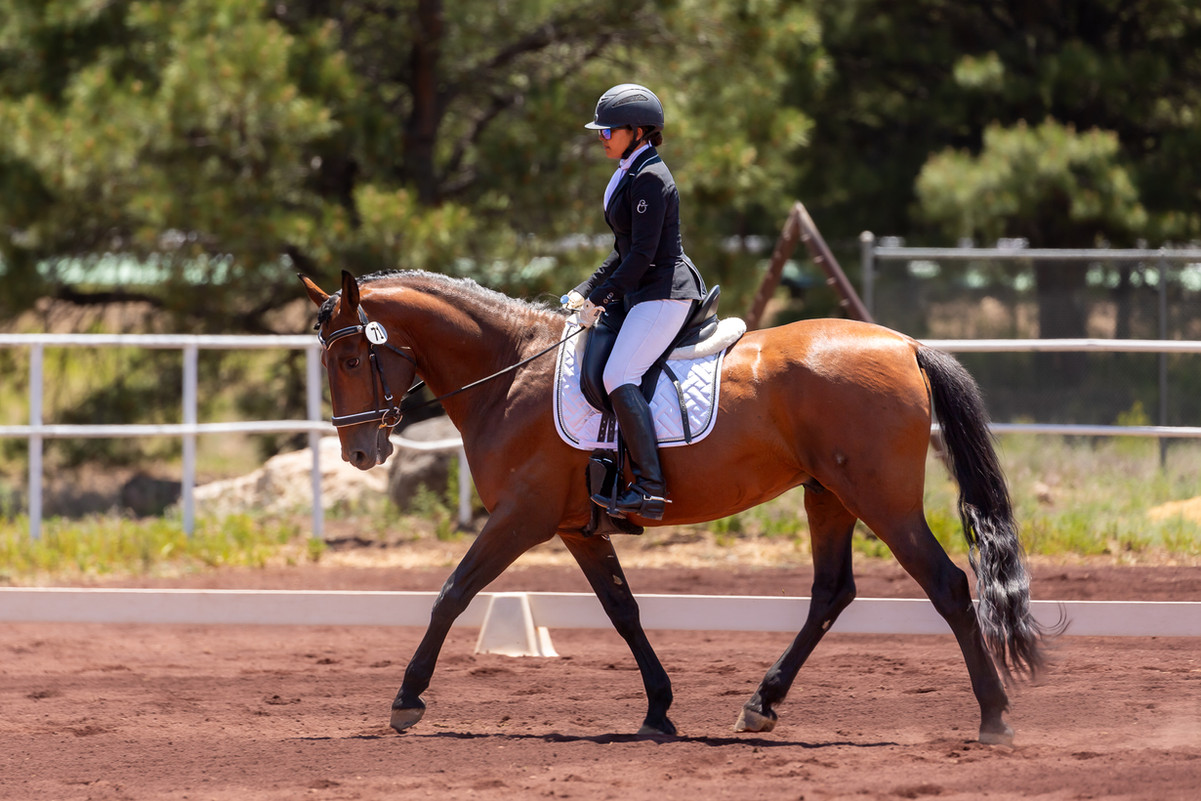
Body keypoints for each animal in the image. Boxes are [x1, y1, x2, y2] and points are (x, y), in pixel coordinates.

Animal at [300, 268, 1053, 746]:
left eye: (348, 360)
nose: (360, 453)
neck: (509, 372)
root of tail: (905, 344)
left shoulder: (521, 516)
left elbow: (452, 592)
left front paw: (406, 699)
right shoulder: (577, 527)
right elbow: (623, 610)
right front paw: (658, 710)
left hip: (880, 499)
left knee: (947, 585)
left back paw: (994, 718)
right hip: (829, 496)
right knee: (831, 592)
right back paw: (760, 705)